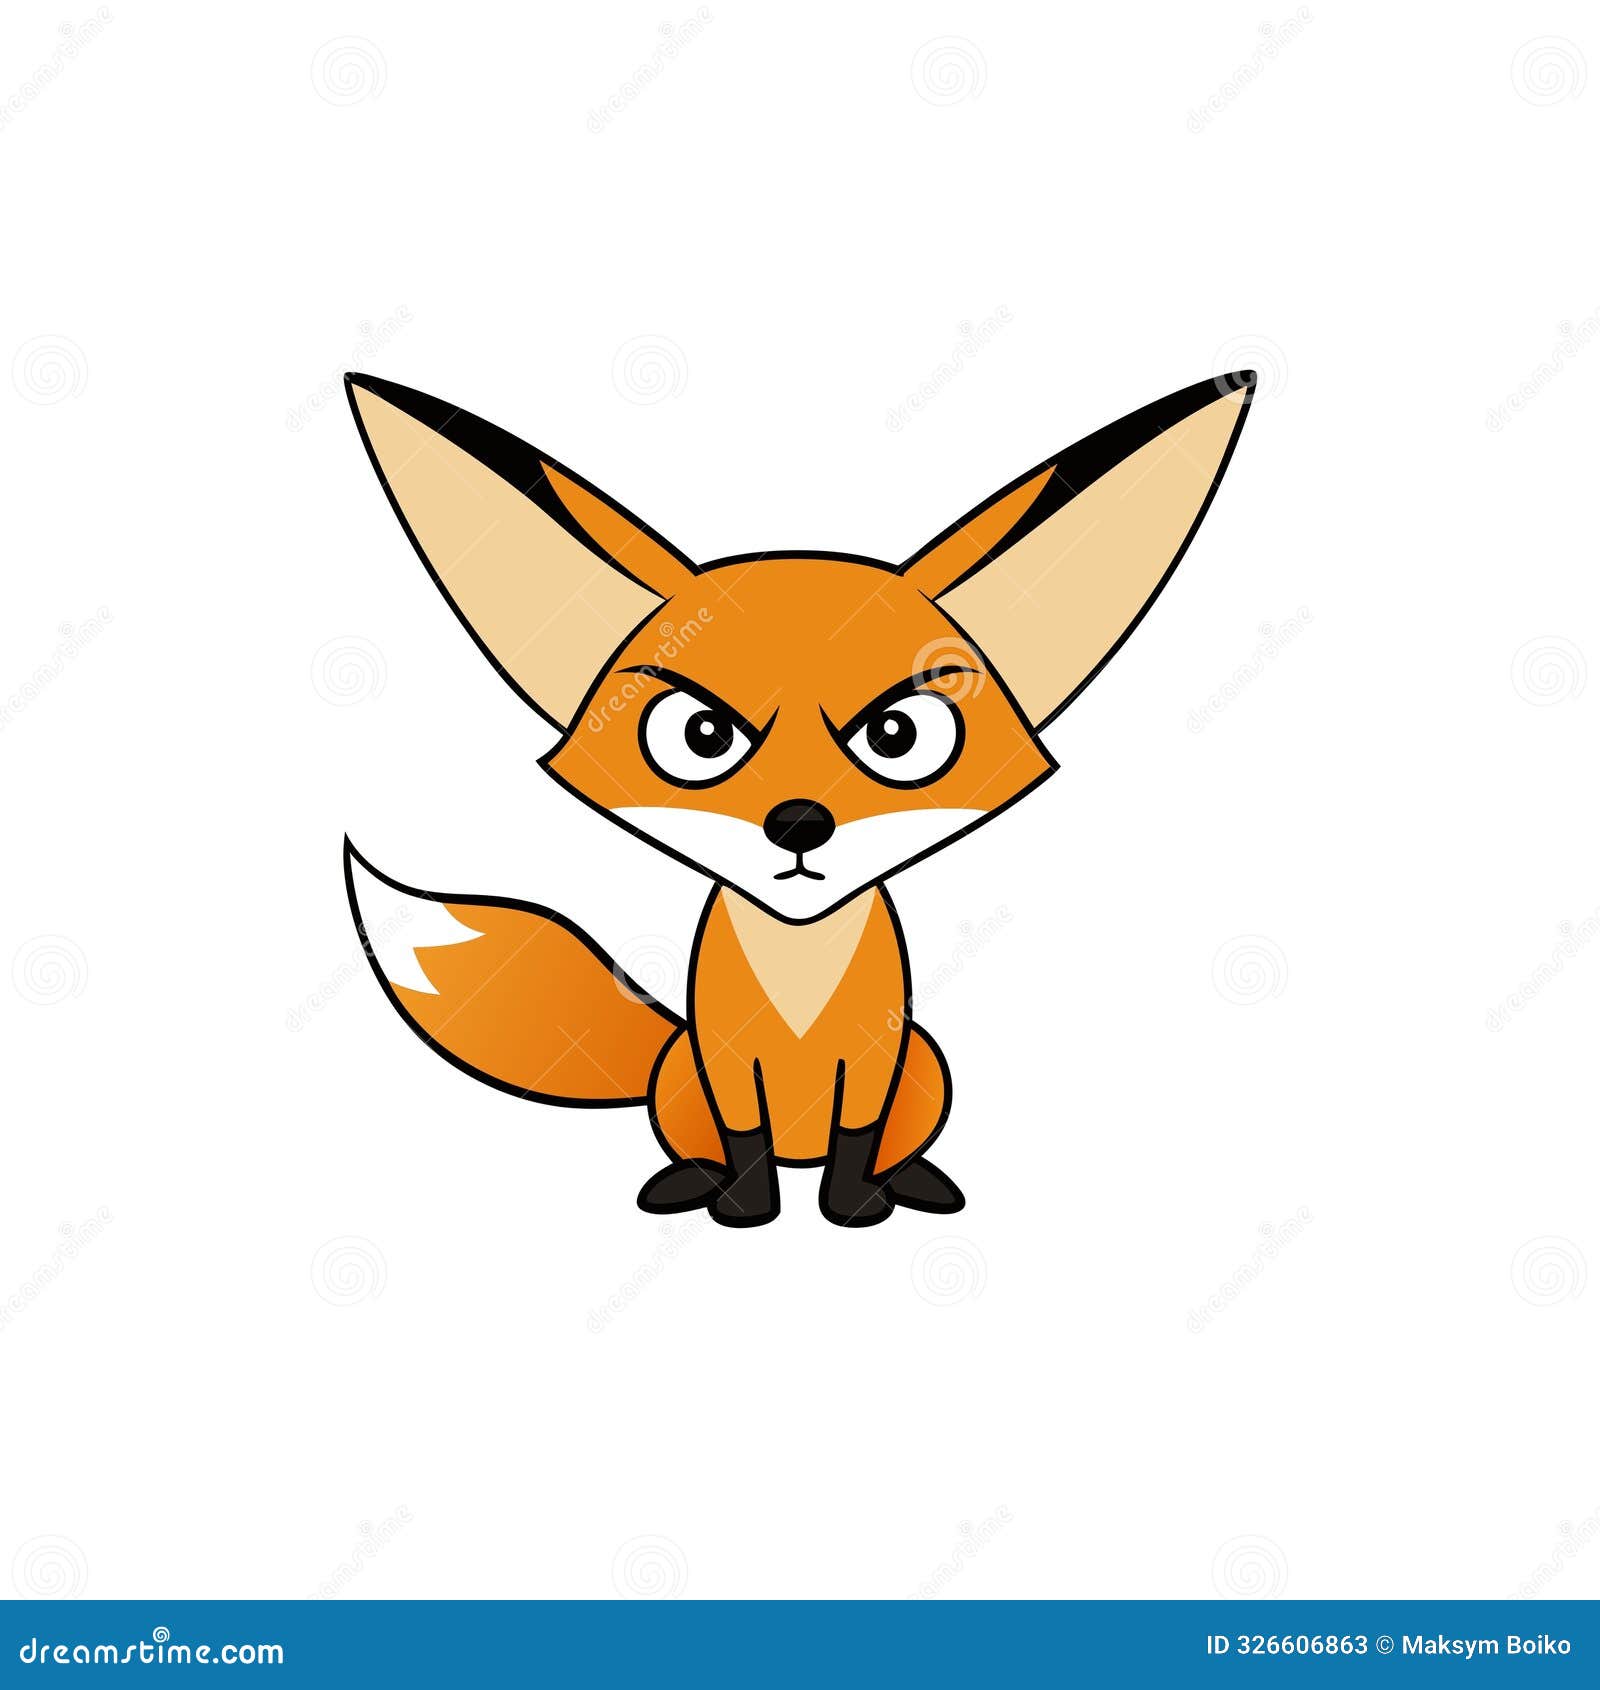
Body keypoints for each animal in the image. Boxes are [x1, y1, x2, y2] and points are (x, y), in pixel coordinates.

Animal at [341, 369, 1255, 1227]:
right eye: (702, 735)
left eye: (897, 735)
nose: (800, 823)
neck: (799, 968)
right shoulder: (726, 1060)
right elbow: (746, 1143)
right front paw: (748, 1209)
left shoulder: (875, 1058)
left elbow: (858, 1140)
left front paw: (852, 1207)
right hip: (680, 1073)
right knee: (707, 1142)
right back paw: (690, 1180)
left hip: (926, 1063)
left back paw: (909, 1179)